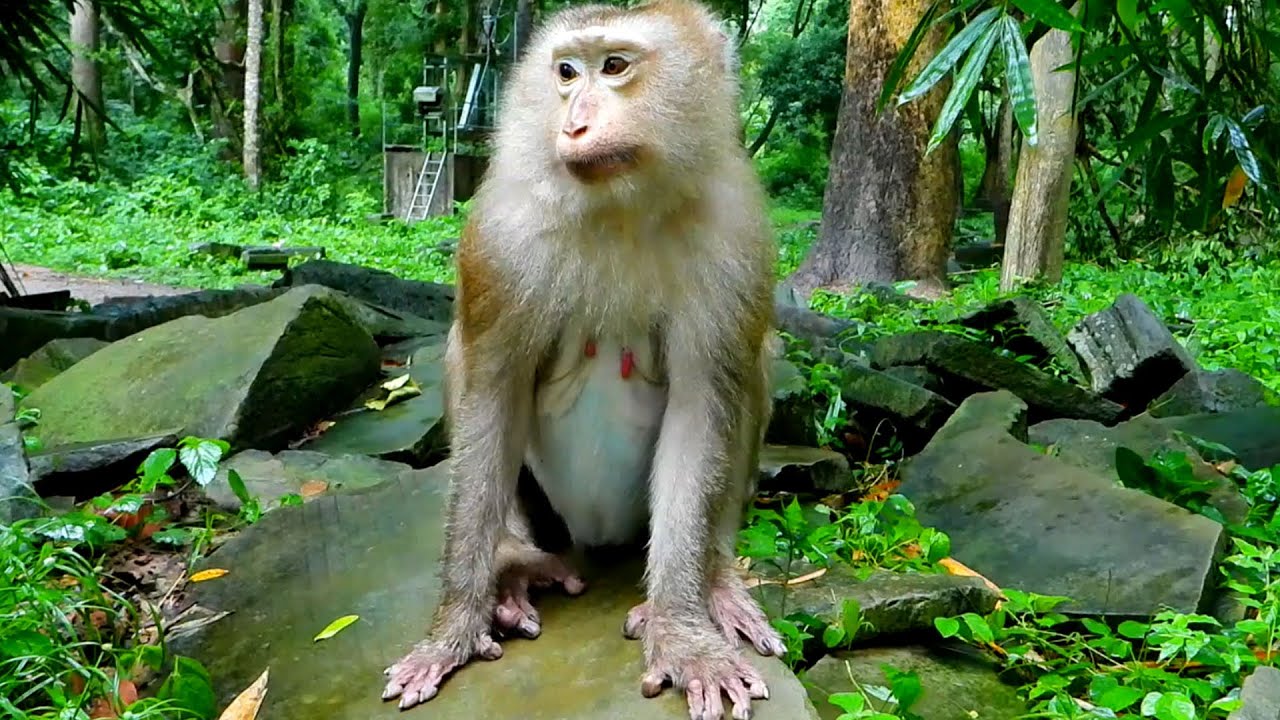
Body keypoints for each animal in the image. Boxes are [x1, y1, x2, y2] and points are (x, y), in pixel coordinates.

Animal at [380, 2, 785, 719]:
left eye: (615, 65)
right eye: (567, 72)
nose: (573, 123)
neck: (619, 204)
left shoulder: (737, 235)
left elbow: (703, 404)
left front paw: (683, 631)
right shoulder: (498, 235)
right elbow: (493, 392)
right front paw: (455, 626)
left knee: (753, 358)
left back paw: (715, 578)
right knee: (464, 352)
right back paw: (514, 561)